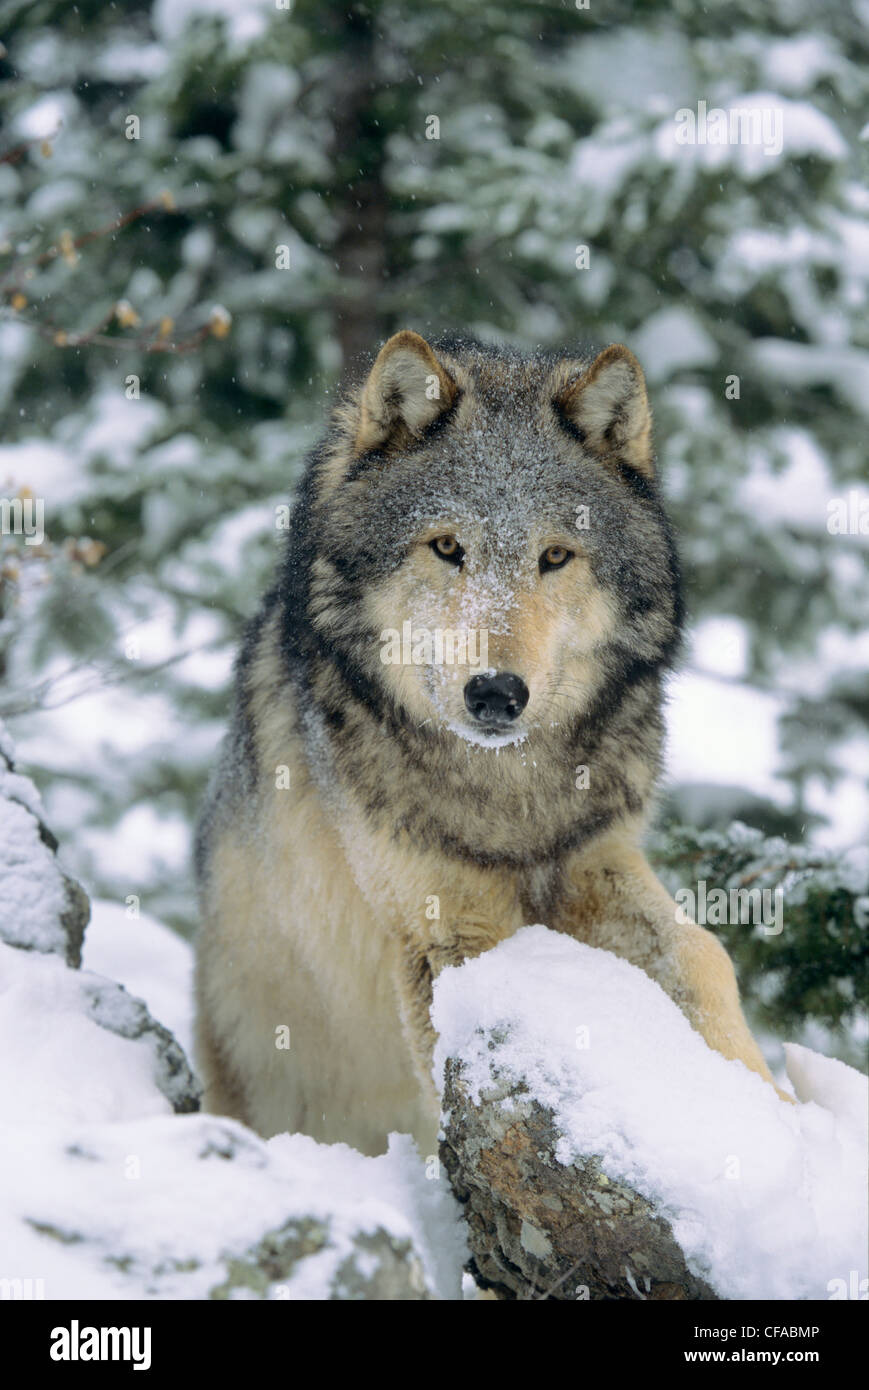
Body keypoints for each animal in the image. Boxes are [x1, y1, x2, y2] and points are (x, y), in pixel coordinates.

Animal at [194, 330, 786, 1159]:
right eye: (447, 547)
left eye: (555, 556)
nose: (496, 693)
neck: (509, 793)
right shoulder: (445, 924)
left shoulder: (593, 857)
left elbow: (704, 954)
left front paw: (769, 1112)